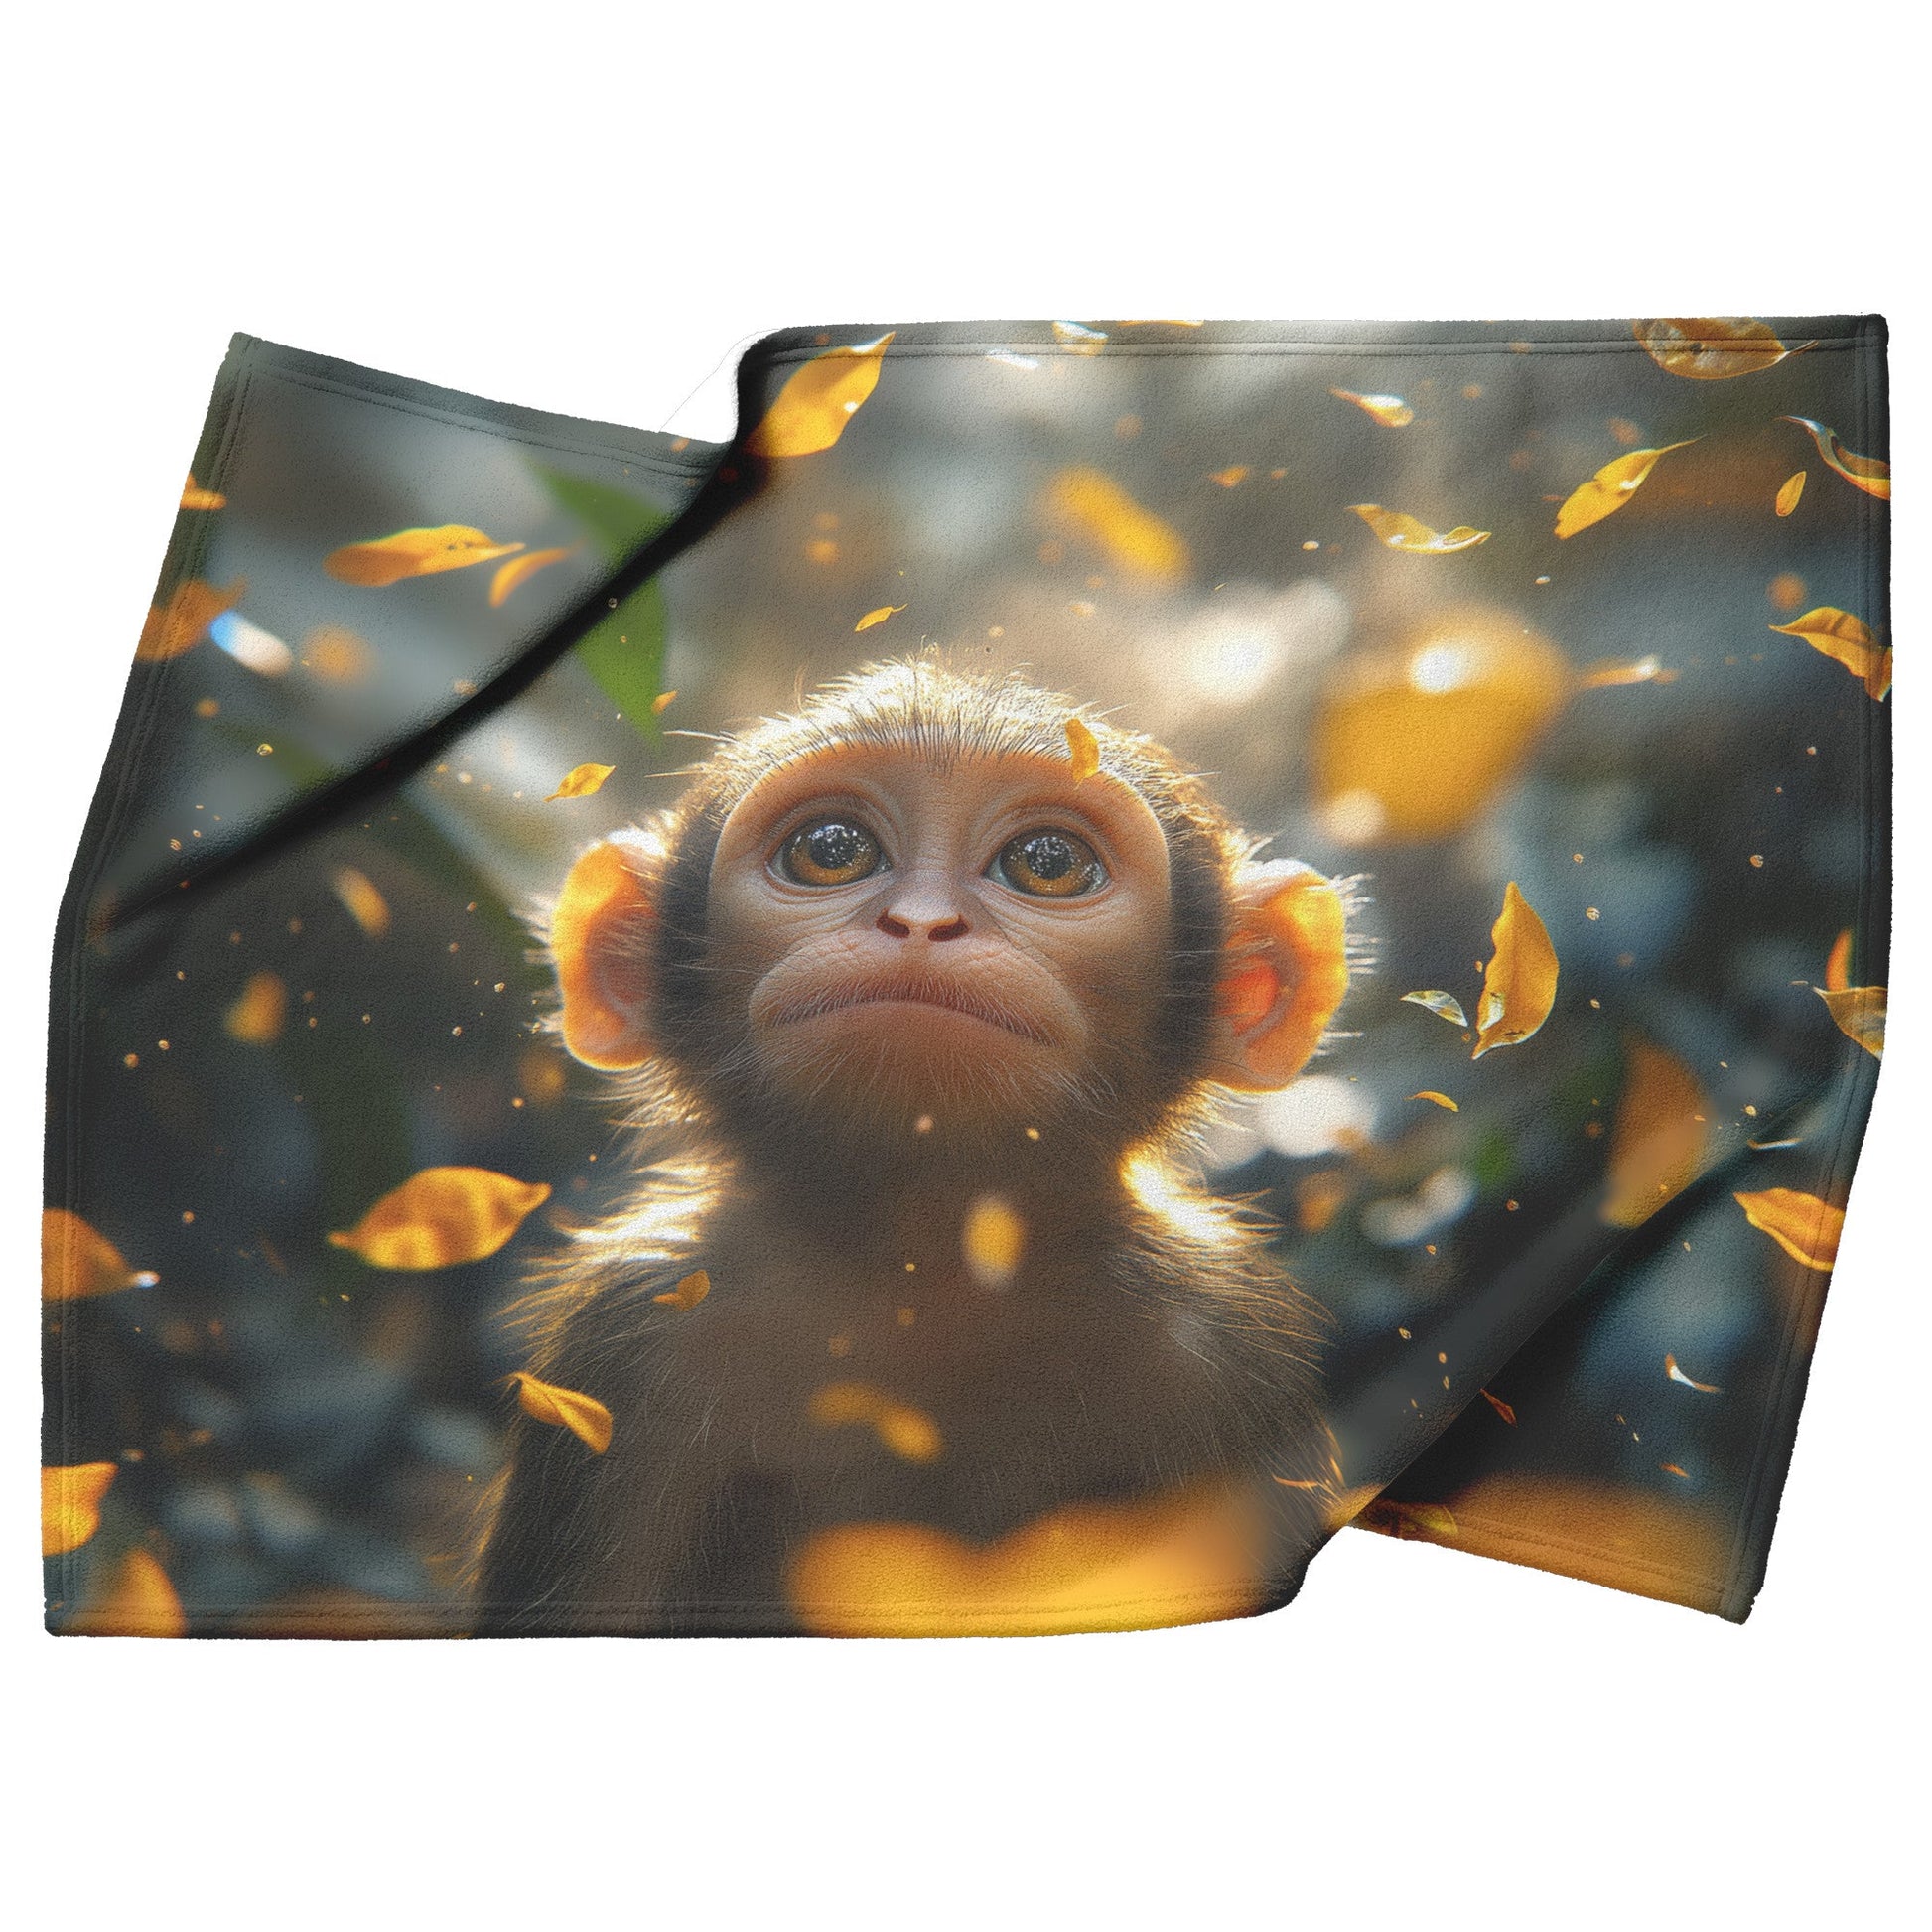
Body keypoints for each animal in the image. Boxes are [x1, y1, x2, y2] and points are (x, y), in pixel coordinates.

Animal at [474, 655, 1357, 1636]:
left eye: (1048, 864)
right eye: (831, 849)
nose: (923, 922)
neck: (928, 1271)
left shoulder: (1229, 1349)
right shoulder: (631, 1331)